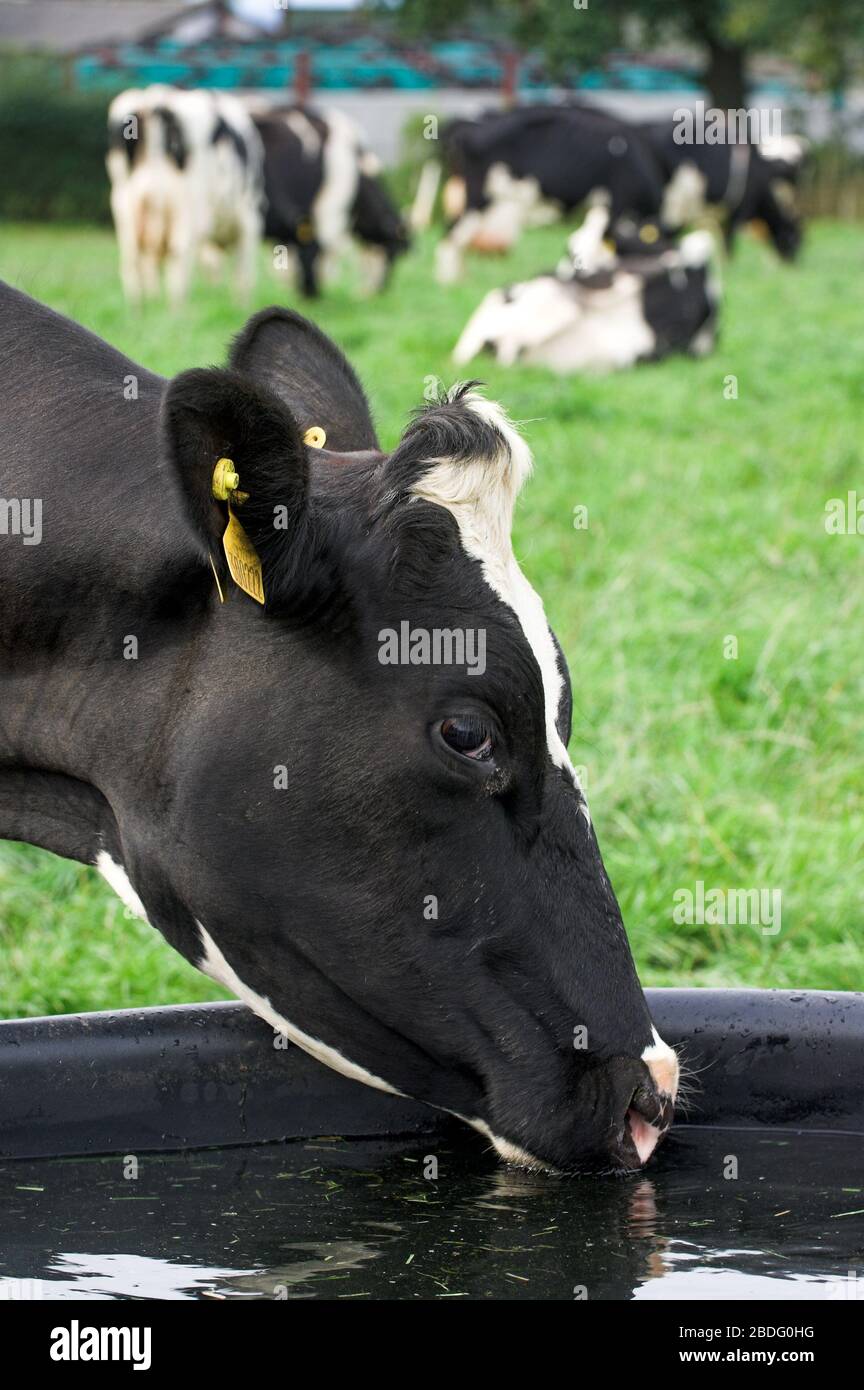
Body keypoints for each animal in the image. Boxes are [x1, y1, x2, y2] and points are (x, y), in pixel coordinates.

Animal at [107, 86, 264, 306]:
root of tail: (155, 98)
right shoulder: (250, 221)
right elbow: (244, 277)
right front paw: (241, 306)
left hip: (125, 208)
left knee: (132, 266)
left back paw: (139, 309)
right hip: (189, 211)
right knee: (178, 265)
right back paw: (178, 311)